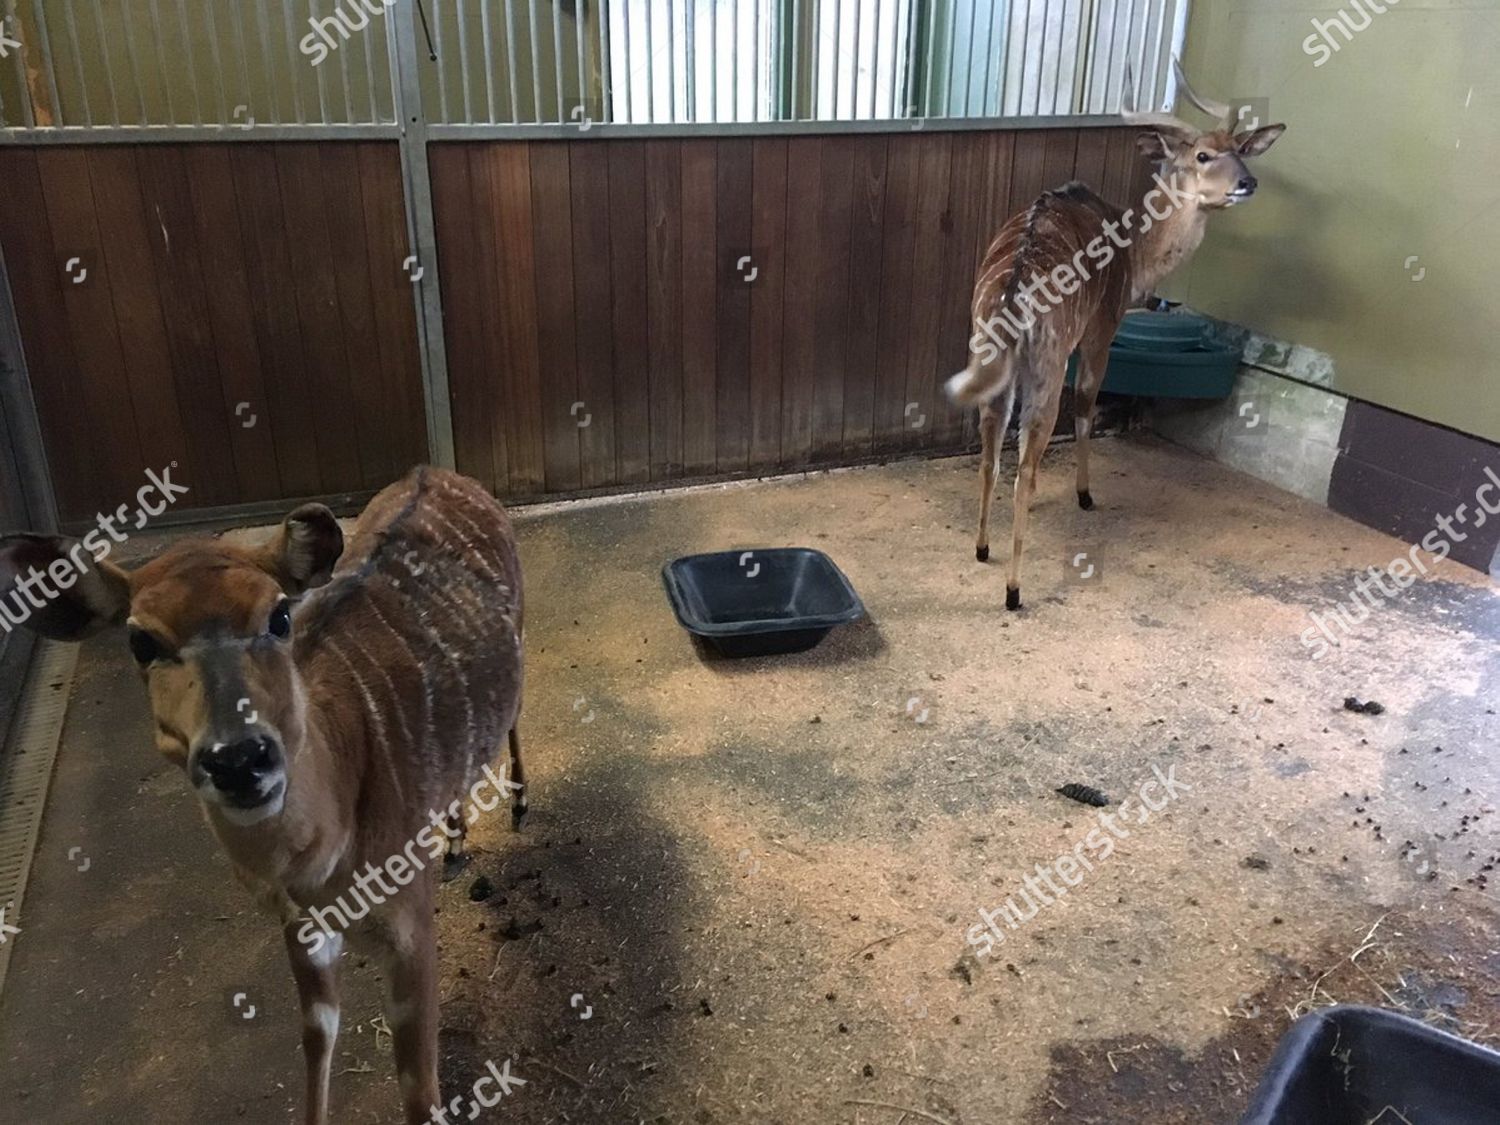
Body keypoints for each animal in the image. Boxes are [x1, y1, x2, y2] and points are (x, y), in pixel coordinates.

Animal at [0, 467, 526, 1125]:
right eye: (141, 641)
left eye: (279, 616)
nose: (239, 758)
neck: (321, 860)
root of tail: (433, 472)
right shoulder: (300, 928)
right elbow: (317, 1039)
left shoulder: (411, 929)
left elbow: (420, 1091)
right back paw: (454, 843)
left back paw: (518, 801)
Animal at [944, 62, 1285, 610]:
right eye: (1202, 155)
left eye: (1238, 147)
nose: (1247, 182)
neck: (1134, 250)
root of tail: (1012, 291)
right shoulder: (1099, 335)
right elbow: (1087, 405)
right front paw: (1085, 495)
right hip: (1046, 371)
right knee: (1024, 469)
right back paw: (1014, 590)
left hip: (993, 365)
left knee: (990, 456)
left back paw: (981, 548)